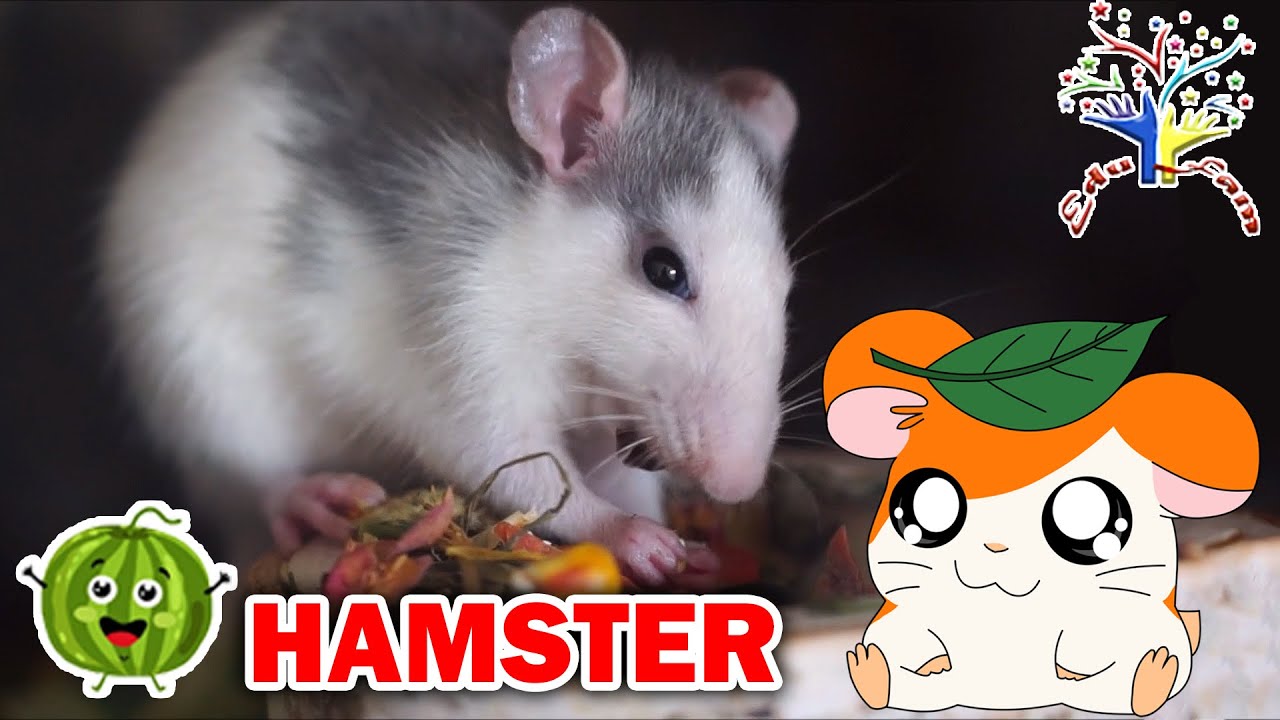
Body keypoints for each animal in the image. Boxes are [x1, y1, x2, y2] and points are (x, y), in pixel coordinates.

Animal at [96, 1, 798, 587]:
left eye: (784, 285)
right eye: (664, 270)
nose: (737, 484)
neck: (575, 347)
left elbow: (615, 472)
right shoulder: (466, 326)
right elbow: (501, 455)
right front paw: (625, 532)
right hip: (198, 379)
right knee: (248, 473)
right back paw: (305, 496)